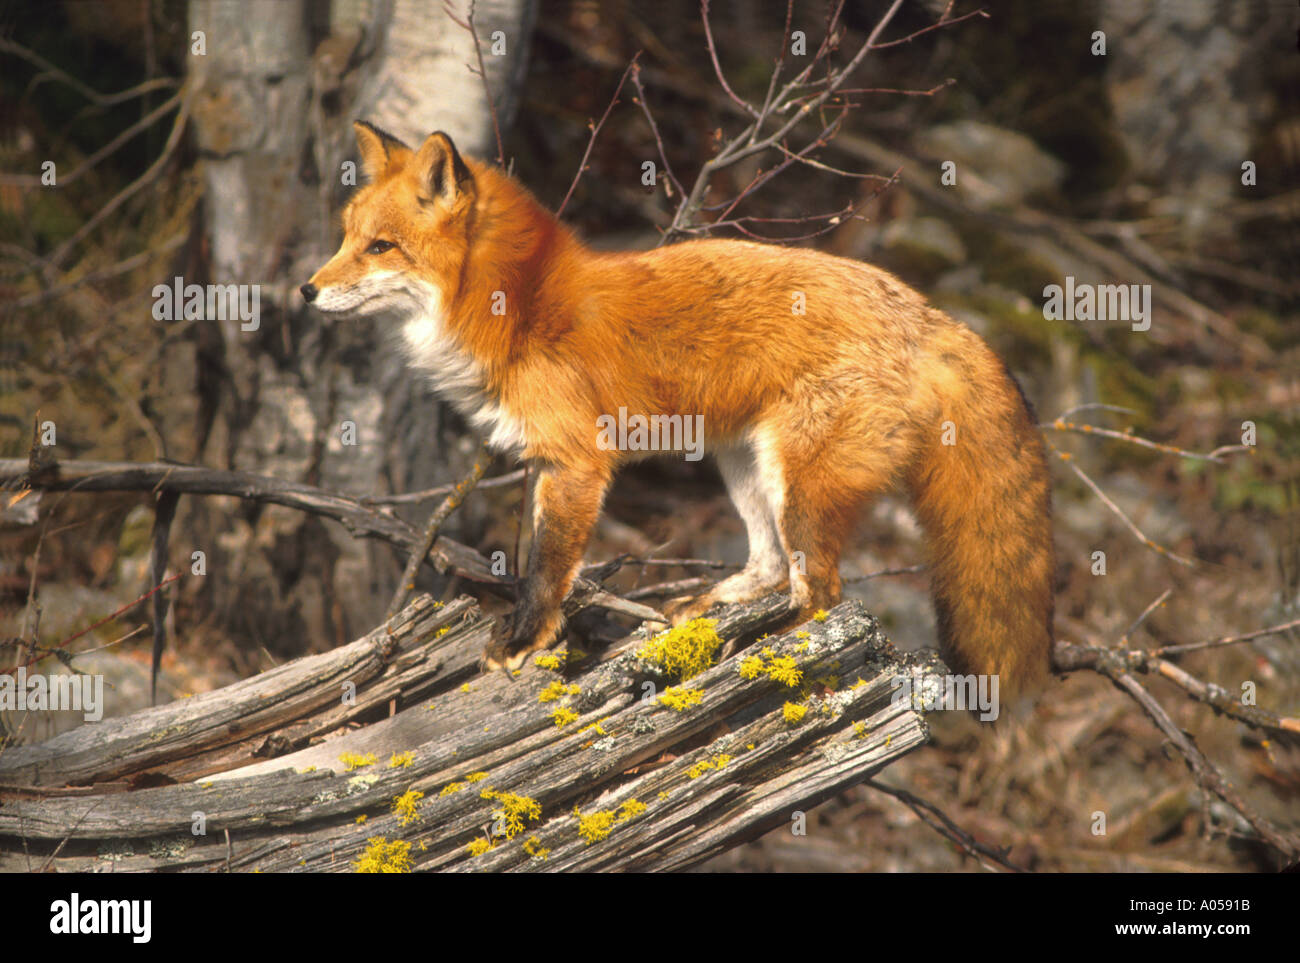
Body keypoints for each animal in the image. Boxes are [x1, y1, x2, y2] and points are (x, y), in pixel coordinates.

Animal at [303, 122, 1056, 697]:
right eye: (343, 237)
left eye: (380, 247)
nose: (305, 291)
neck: (518, 309)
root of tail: (929, 314)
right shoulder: (547, 463)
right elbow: (533, 566)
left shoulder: (576, 464)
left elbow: (546, 570)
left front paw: (523, 642)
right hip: (744, 467)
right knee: (771, 569)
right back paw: (702, 614)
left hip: (800, 484)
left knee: (822, 597)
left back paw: (767, 651)